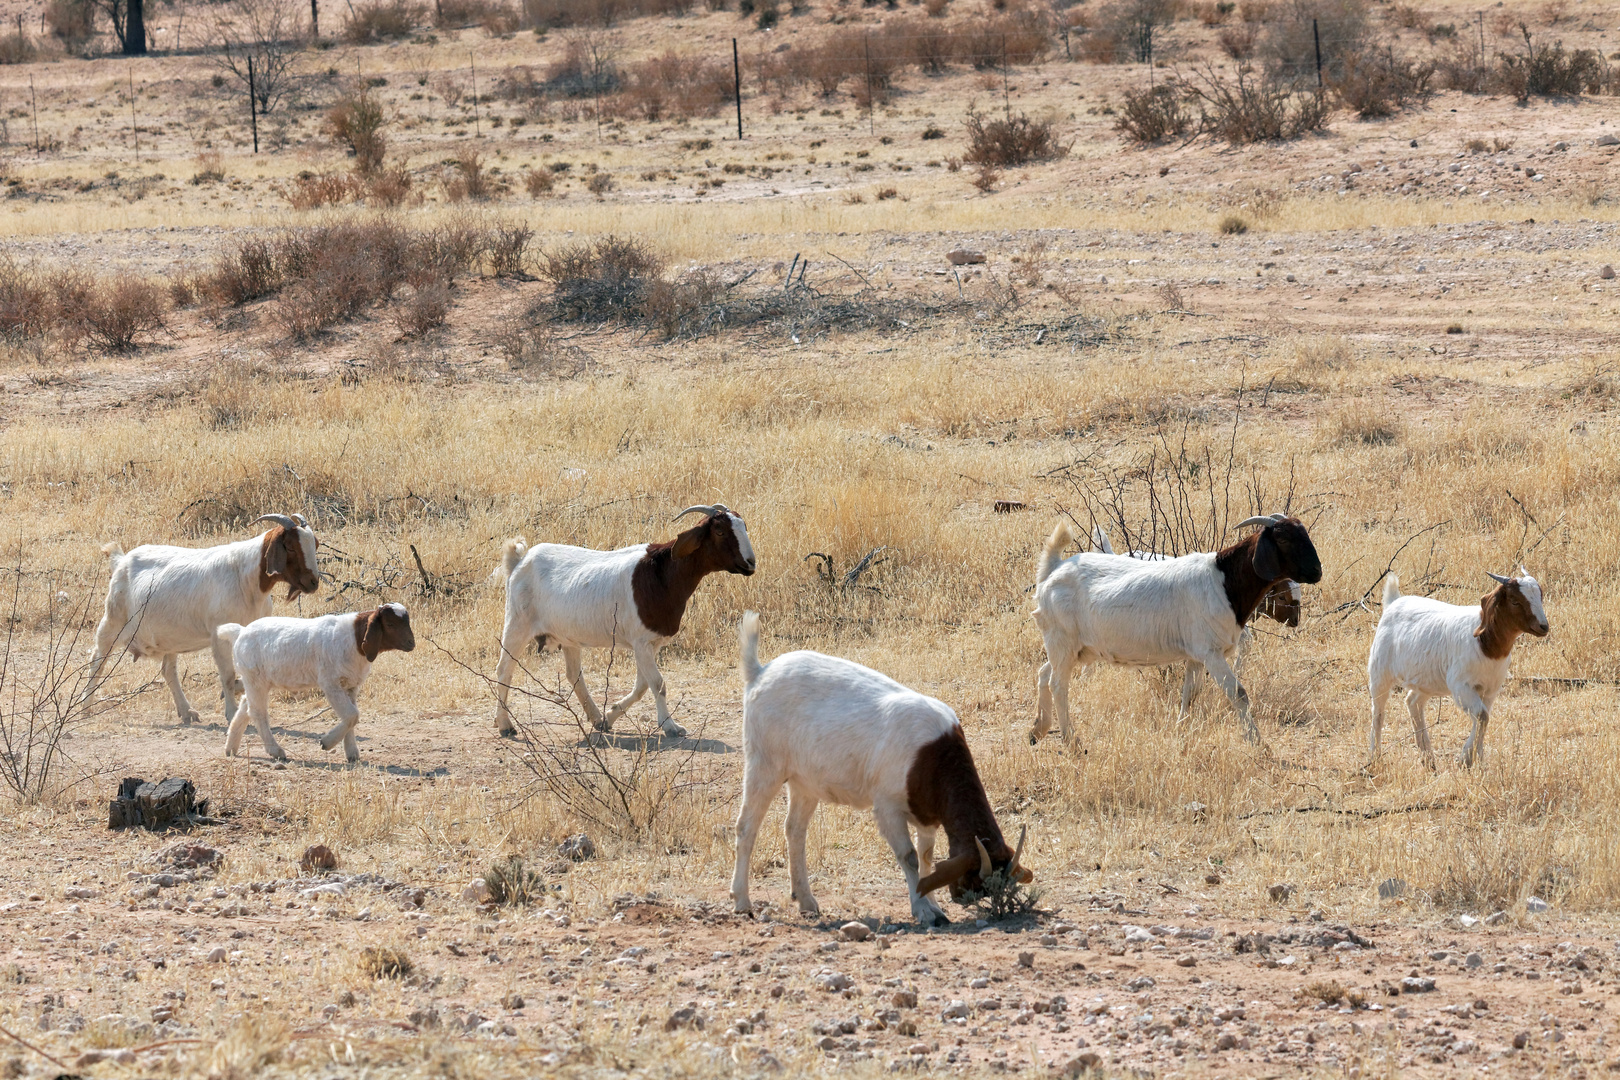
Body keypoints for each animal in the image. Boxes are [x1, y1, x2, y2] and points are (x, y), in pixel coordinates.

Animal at [88, 514, 321, 726]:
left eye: (315, 544)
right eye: (291, 547)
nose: (313, 582)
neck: (244, 576)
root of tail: (121, 561)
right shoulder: (218, 635)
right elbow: (227, 675)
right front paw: (231, 712)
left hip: (169, 636)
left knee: (168, 670)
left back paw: (187, 712)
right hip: (113, 620)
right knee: (98, 659)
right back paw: (85, 706)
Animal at [217, 604, 415, 762]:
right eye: (390, 624)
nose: (411, 643)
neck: (354, 639)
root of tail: (240, 632)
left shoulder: (351, 686)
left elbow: (351, 717)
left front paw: (352, 753)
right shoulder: (331, 683)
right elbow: (352, 715)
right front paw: (326, 743)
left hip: (255, 680)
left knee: (245, 705)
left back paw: (231, 747)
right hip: (255, 678)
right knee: (257, 713)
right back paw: (275, 751)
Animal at [493, 504, 756, 739]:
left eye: (744, 526)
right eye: (720, 530)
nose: (750, 563)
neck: (662, 573)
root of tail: (518, 560)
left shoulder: (652, 643)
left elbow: (642, 686)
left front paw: (611, 716)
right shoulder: (641, 642)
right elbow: (658, 684)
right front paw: (671, 726)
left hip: (567, 638)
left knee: (574, 674)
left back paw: (597, 719)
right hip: (517, 623)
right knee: (504, 670)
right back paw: (505, 725)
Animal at [731, 612, 1032, 926]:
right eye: (978, 881)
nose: (963, 899)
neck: (934, 754)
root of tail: (759, 672)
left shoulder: (925, 813)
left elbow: (926, 856)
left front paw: (934, 906)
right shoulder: (887, 807)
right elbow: (909, 856)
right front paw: (924, 910)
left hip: (805, 781)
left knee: (795, 830)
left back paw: (807, 901)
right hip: (764, 763)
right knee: (746, 826)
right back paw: (742, 902)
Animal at [1368, 569, 1548, 768]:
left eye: (1540, 596)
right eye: (1515, 601)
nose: (1543, 626)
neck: (1485, 644)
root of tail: (1393, 602)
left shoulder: (1490, 690)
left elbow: (1484, 718)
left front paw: (1477, 758)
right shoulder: (1461, 686)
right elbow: (1482, 716)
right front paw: (1466, 760)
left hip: (1427, 680)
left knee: (1413, 702)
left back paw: (1428, 758)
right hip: (1379, 671)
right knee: (1378, 712)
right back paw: (1375, 756)